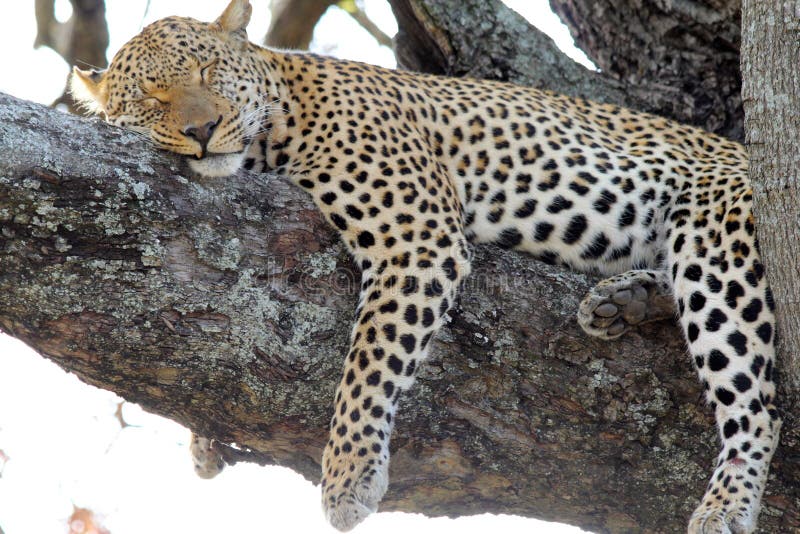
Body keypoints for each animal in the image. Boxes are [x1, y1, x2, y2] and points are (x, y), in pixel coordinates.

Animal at [70, 1, 781, 532]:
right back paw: (625, 300)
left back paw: (725, 505)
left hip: (719, 234)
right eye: (152, 97)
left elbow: (370, 359)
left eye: (208, 72)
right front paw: (204, 442)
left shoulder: (416, 235)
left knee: (759, 405)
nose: (202, 129)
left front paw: (349, 475)